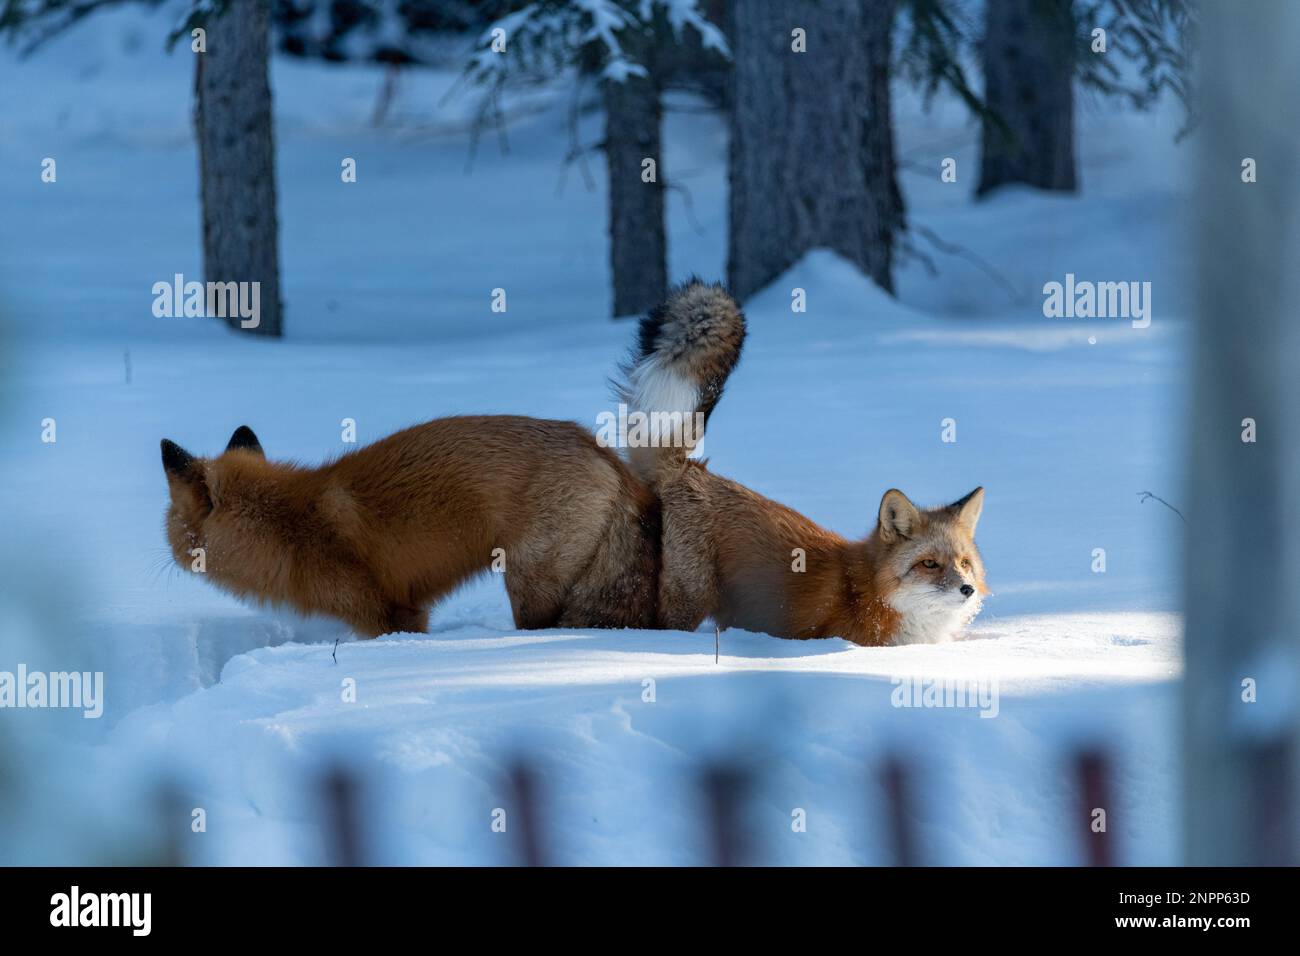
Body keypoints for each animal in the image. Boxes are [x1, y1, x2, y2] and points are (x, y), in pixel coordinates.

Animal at [160, 417, 664, 637]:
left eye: (170, 521)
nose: (167, 557)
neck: (289, 525)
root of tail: (599, 447)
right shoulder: (411, 610)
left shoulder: (380, 615)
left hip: (531, 588)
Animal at [617, 282, 989, 646]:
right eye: (929, 563)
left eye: (964, 563)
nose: (967, 589)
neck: (873, 594)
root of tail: (691, 469)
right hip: (687, 603)